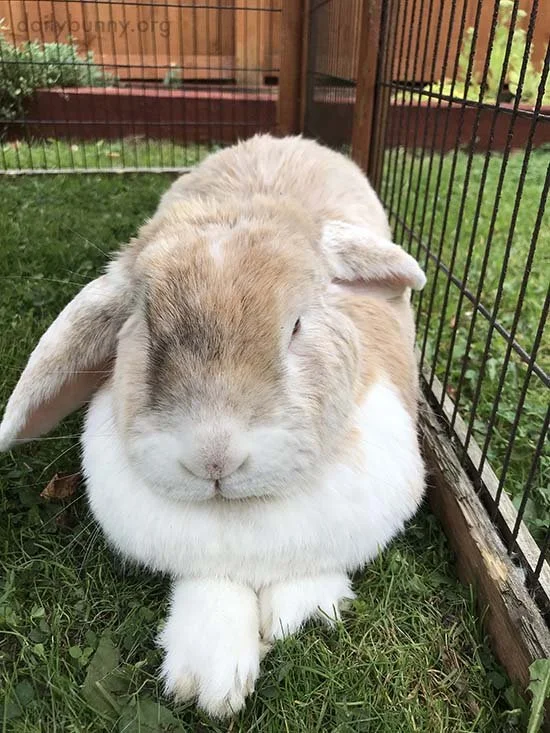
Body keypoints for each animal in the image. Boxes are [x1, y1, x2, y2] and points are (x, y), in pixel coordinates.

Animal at [0, 134, 426, 719]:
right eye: (146, 328)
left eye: (297, 326)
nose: (214, 458)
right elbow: (210, 590)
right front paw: (210, 680)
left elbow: (311, 569)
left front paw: (300, 616)